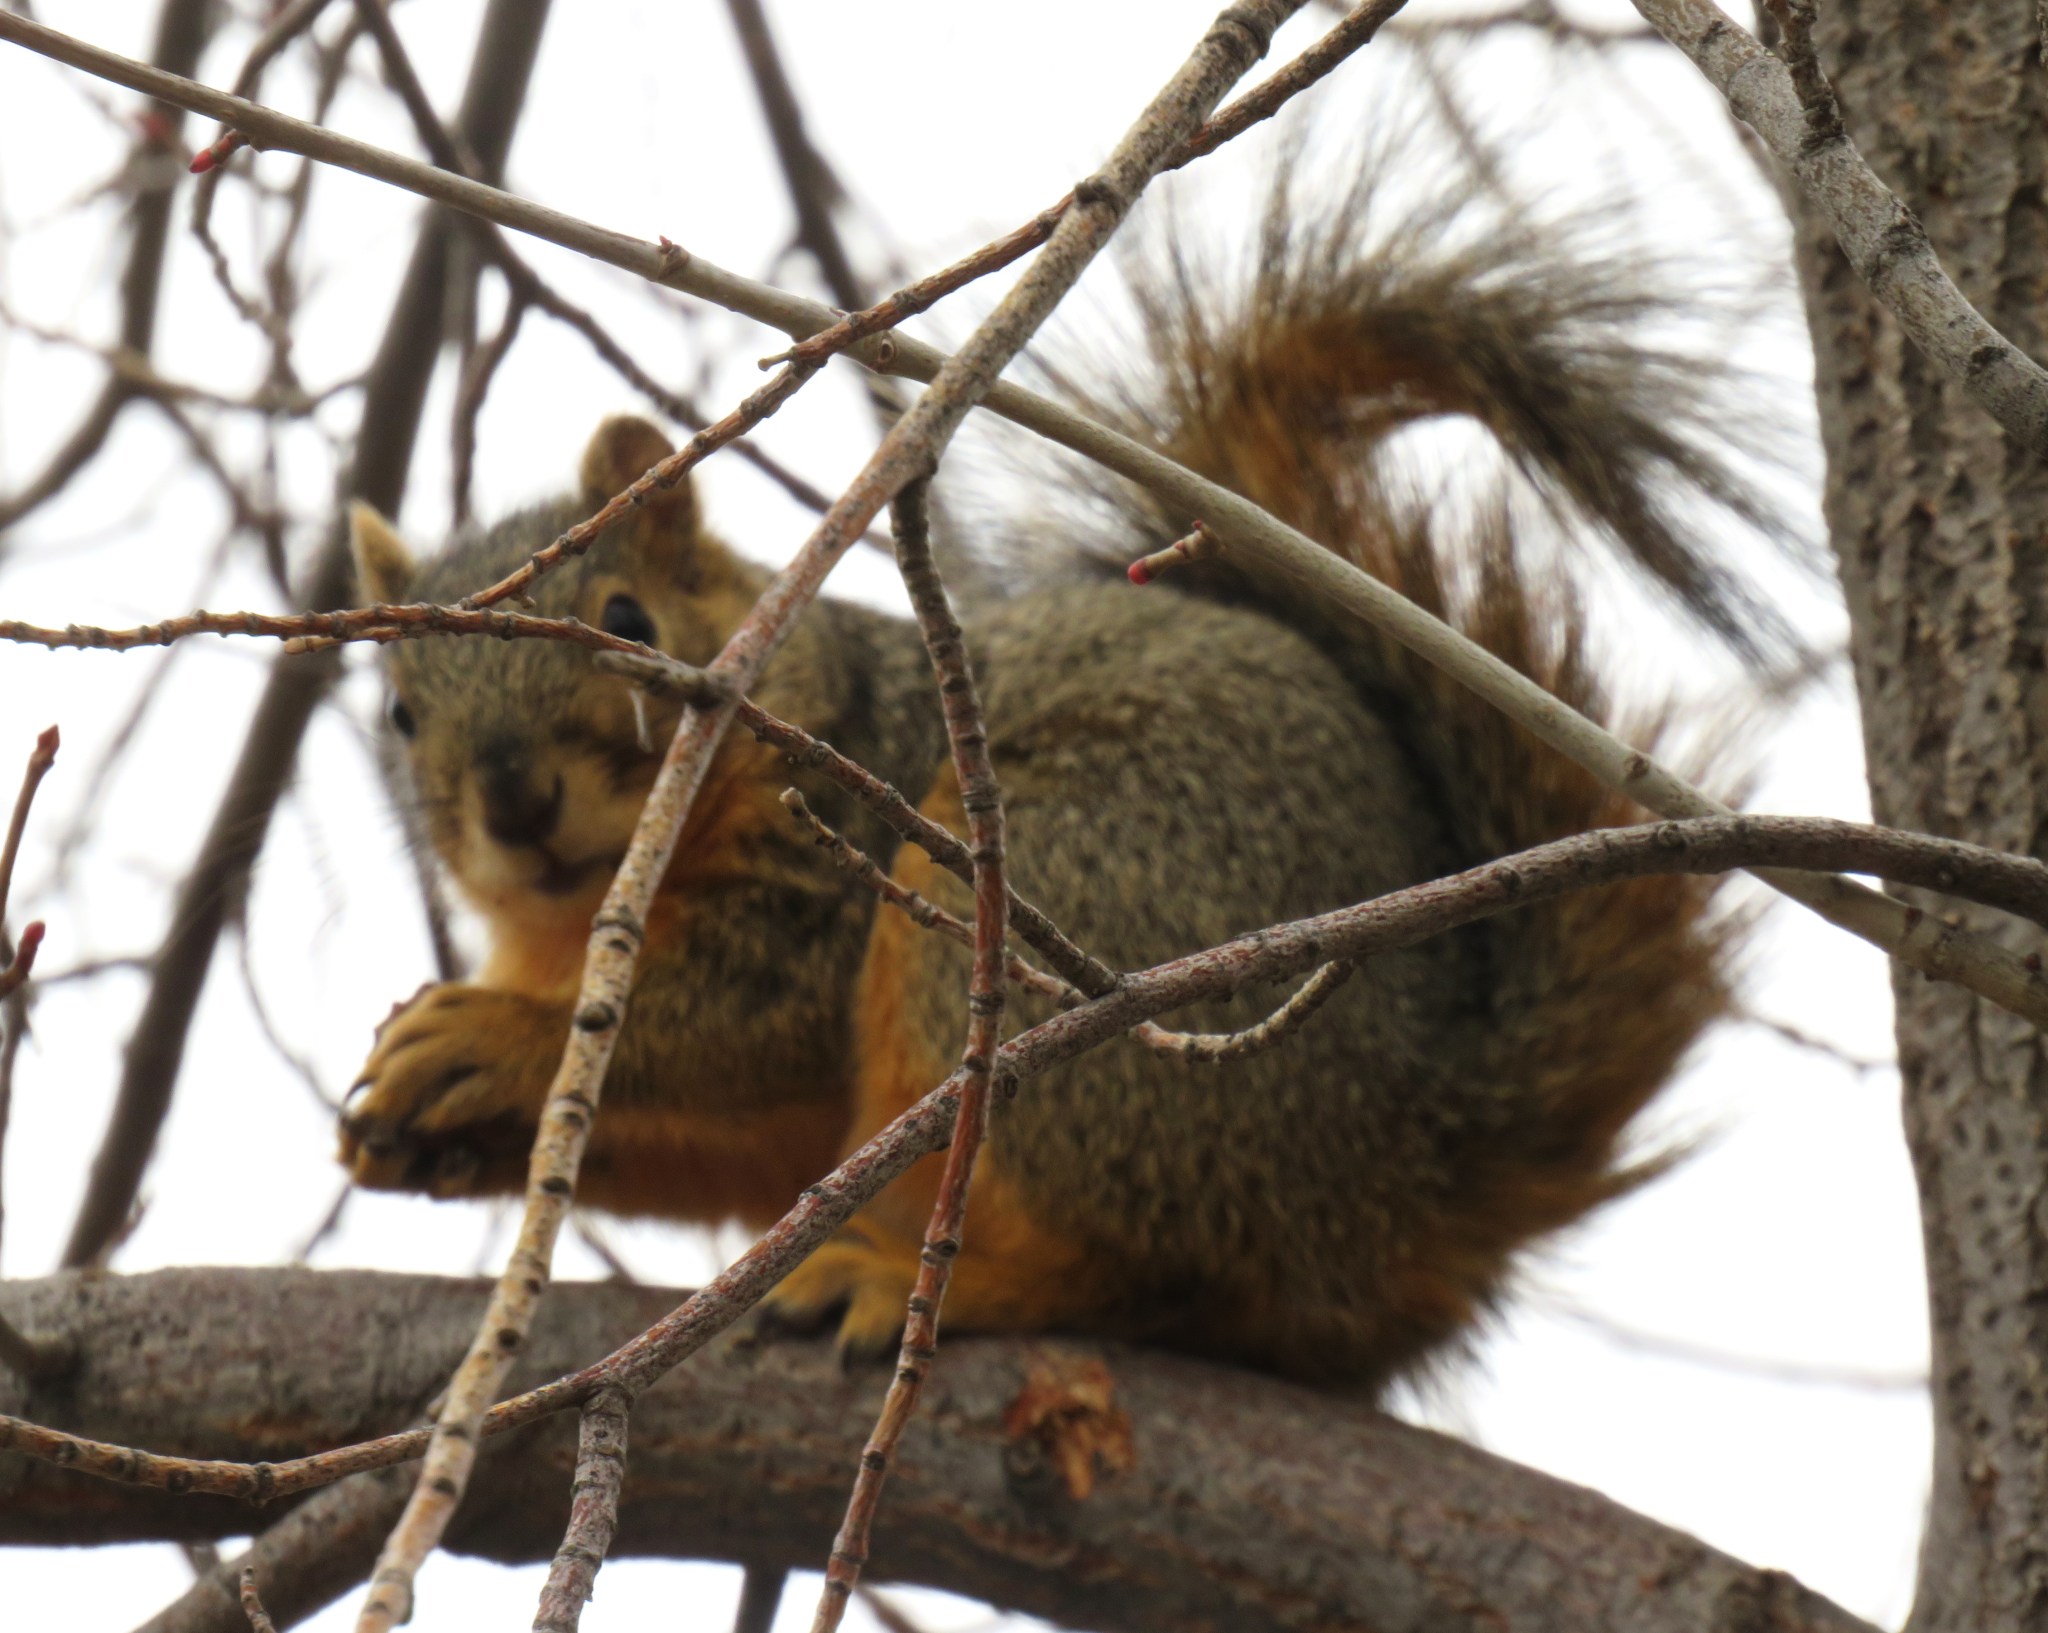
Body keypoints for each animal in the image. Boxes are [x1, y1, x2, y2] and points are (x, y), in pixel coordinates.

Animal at [339, 179, 1770, 1391]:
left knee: (1150, 1269)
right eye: (398, 713)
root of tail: (1416, 1158)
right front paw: (420, 1127)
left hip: (1043, 921)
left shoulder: (828, 861)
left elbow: (740, 1027)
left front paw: (481, 1039)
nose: (516, 803)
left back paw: (927, 1287)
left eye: (628, 621)